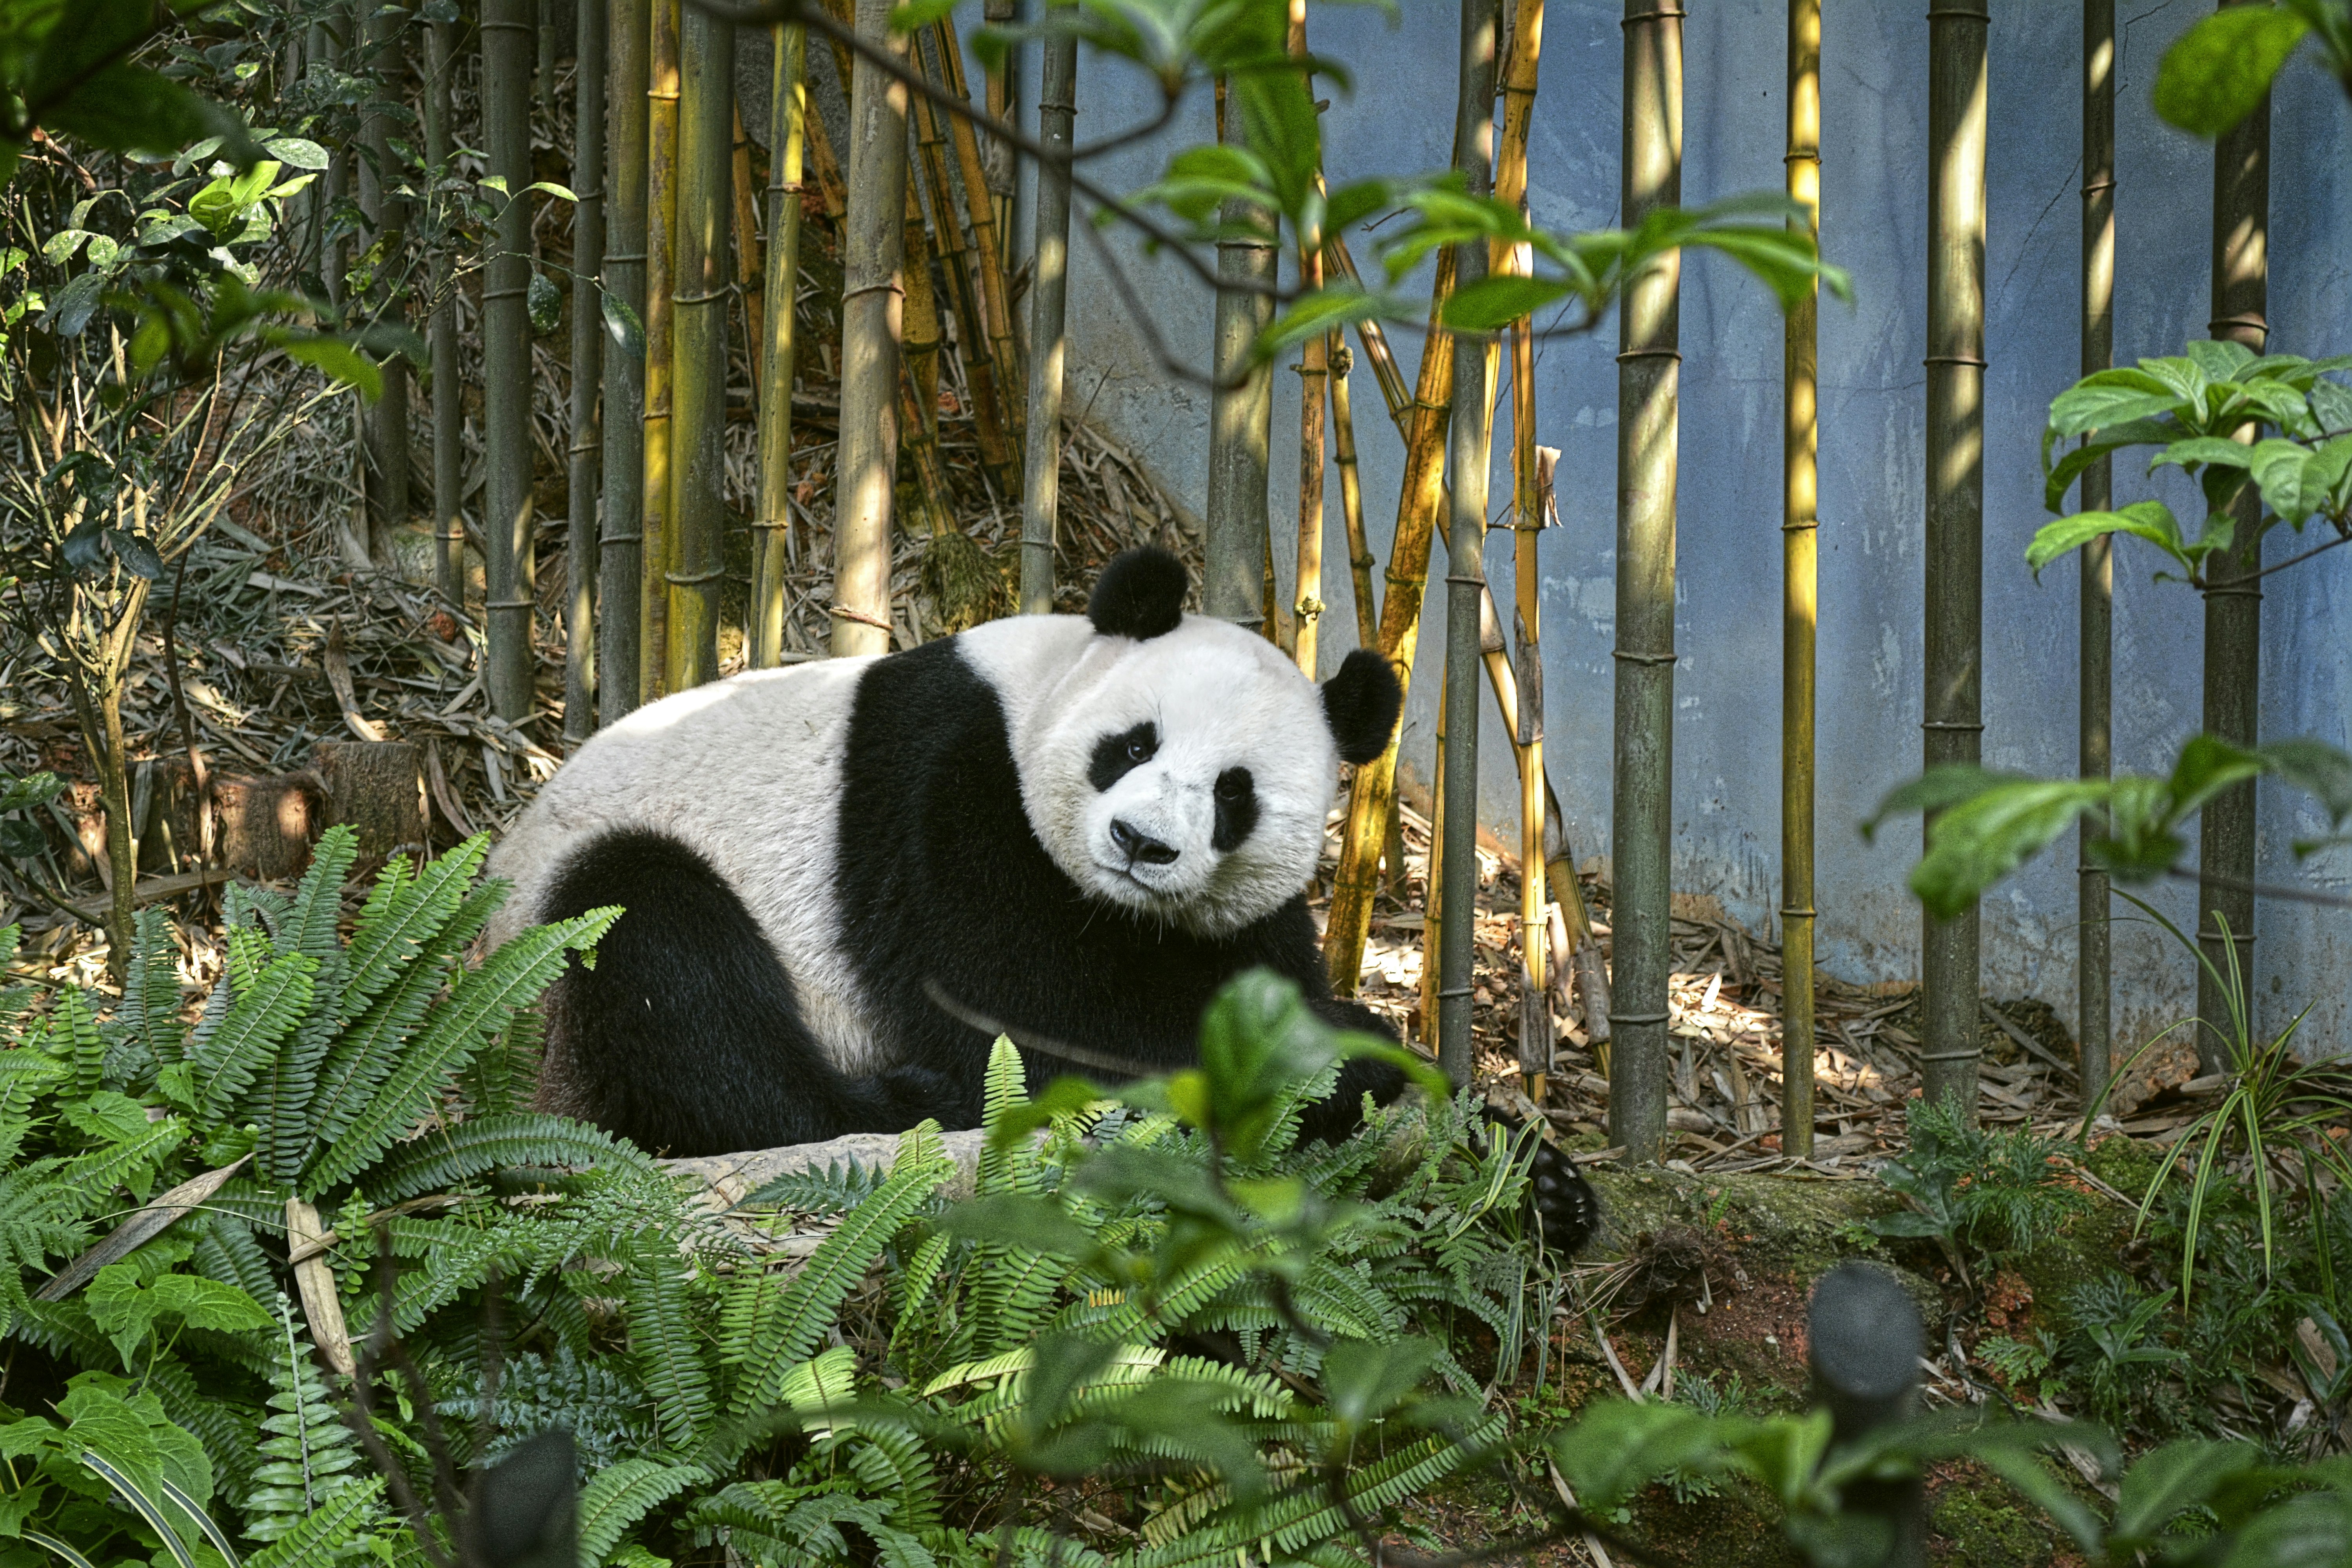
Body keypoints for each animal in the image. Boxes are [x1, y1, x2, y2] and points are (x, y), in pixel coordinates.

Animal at [486, 546, 1598, 1252]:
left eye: (1234, 793)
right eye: (1133, 744)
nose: (1143, 845)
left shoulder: (1232, 914)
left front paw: (1541, 1179)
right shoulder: (948, 794)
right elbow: (1028, 1015)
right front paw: (1361, 1058)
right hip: (559, 952)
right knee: (662, 958)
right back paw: (903, 1103)